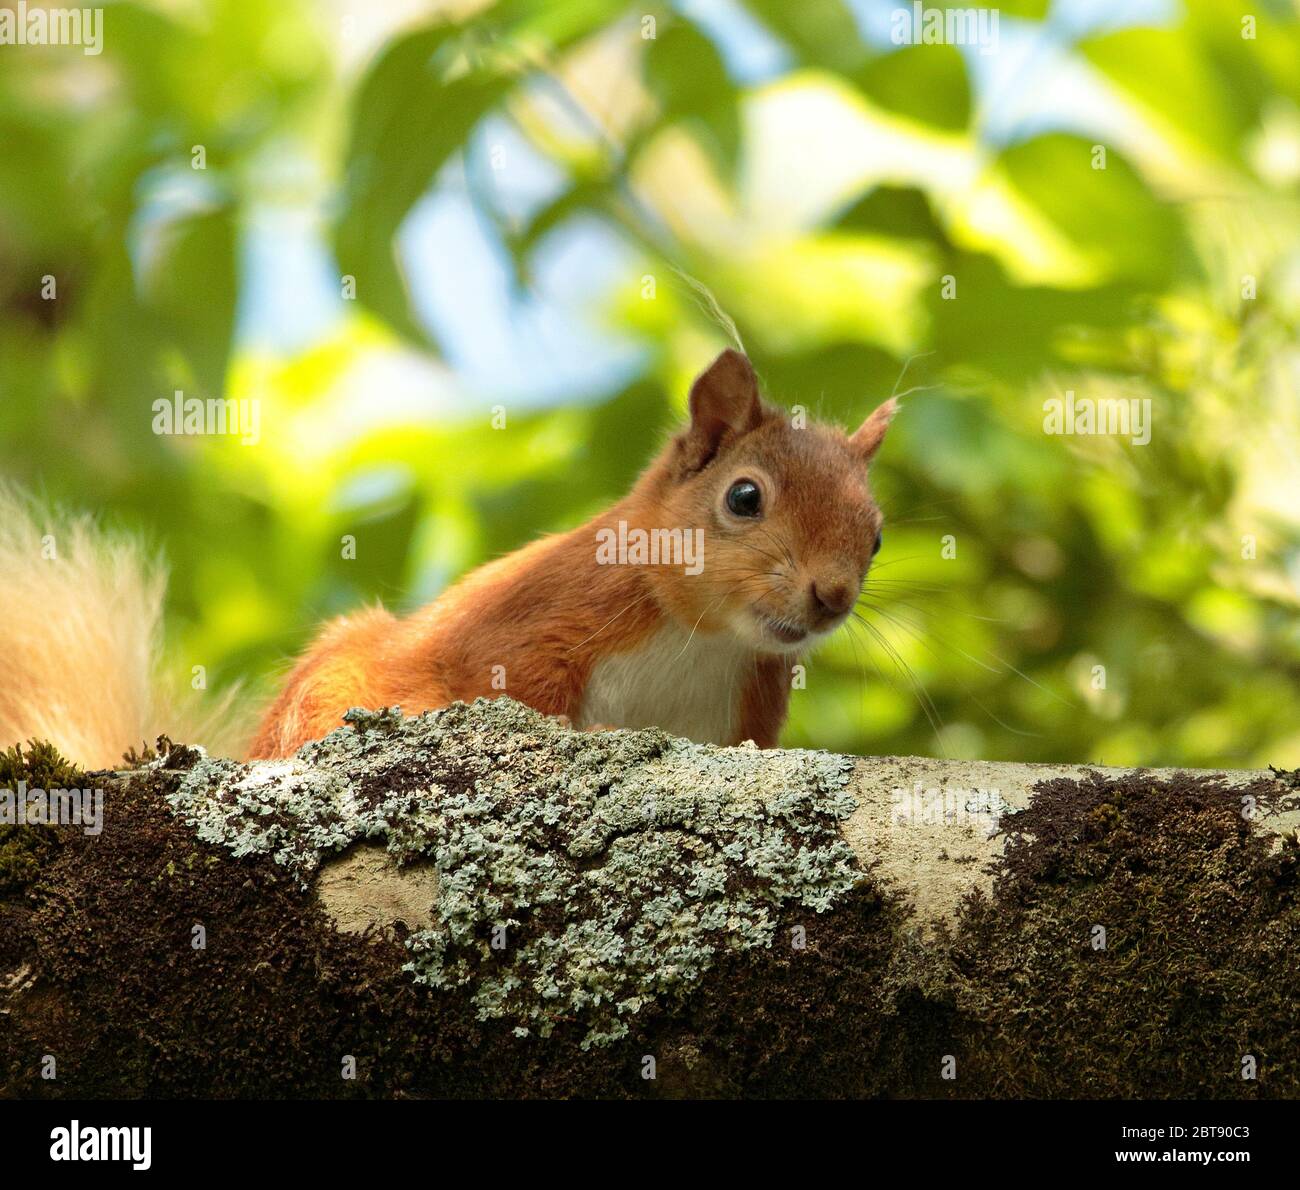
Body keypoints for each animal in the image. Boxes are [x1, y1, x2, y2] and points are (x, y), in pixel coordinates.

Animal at [0, 350, 894, 768]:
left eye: (878, 534)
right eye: (744, 497)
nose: (832, 595)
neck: (705, 638)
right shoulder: (546, 613)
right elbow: (509, 684)